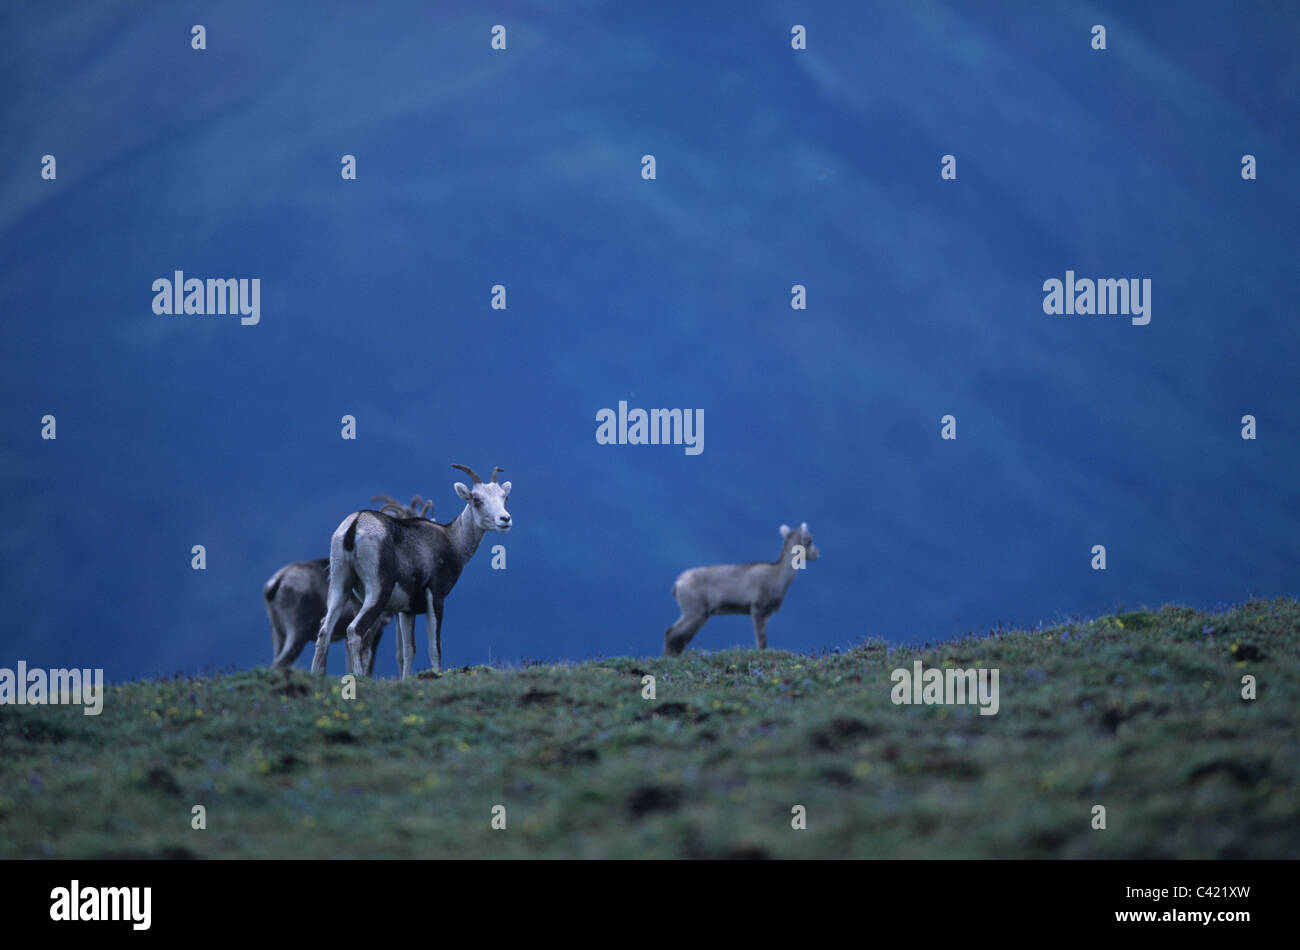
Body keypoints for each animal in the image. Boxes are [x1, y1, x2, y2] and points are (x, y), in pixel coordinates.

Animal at [311, 464, 512, 680]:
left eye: (504, 497)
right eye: (476, 499)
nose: (505, 519)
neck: (451, 540)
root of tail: (354, 525)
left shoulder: (406, 611)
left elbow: (408, 651)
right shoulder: (435, 597)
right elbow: (435, 647)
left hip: (340, 588)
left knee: (324, 632)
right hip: (377, 593)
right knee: (355, 631)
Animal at [663, 522, 819, 655]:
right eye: (810, 539)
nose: (817, 554)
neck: (778, 576)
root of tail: (678, 583)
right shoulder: (758, 610)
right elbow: (761, 641)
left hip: (695, 614)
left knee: (677, 636)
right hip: (695, 613)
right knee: (673, 634)